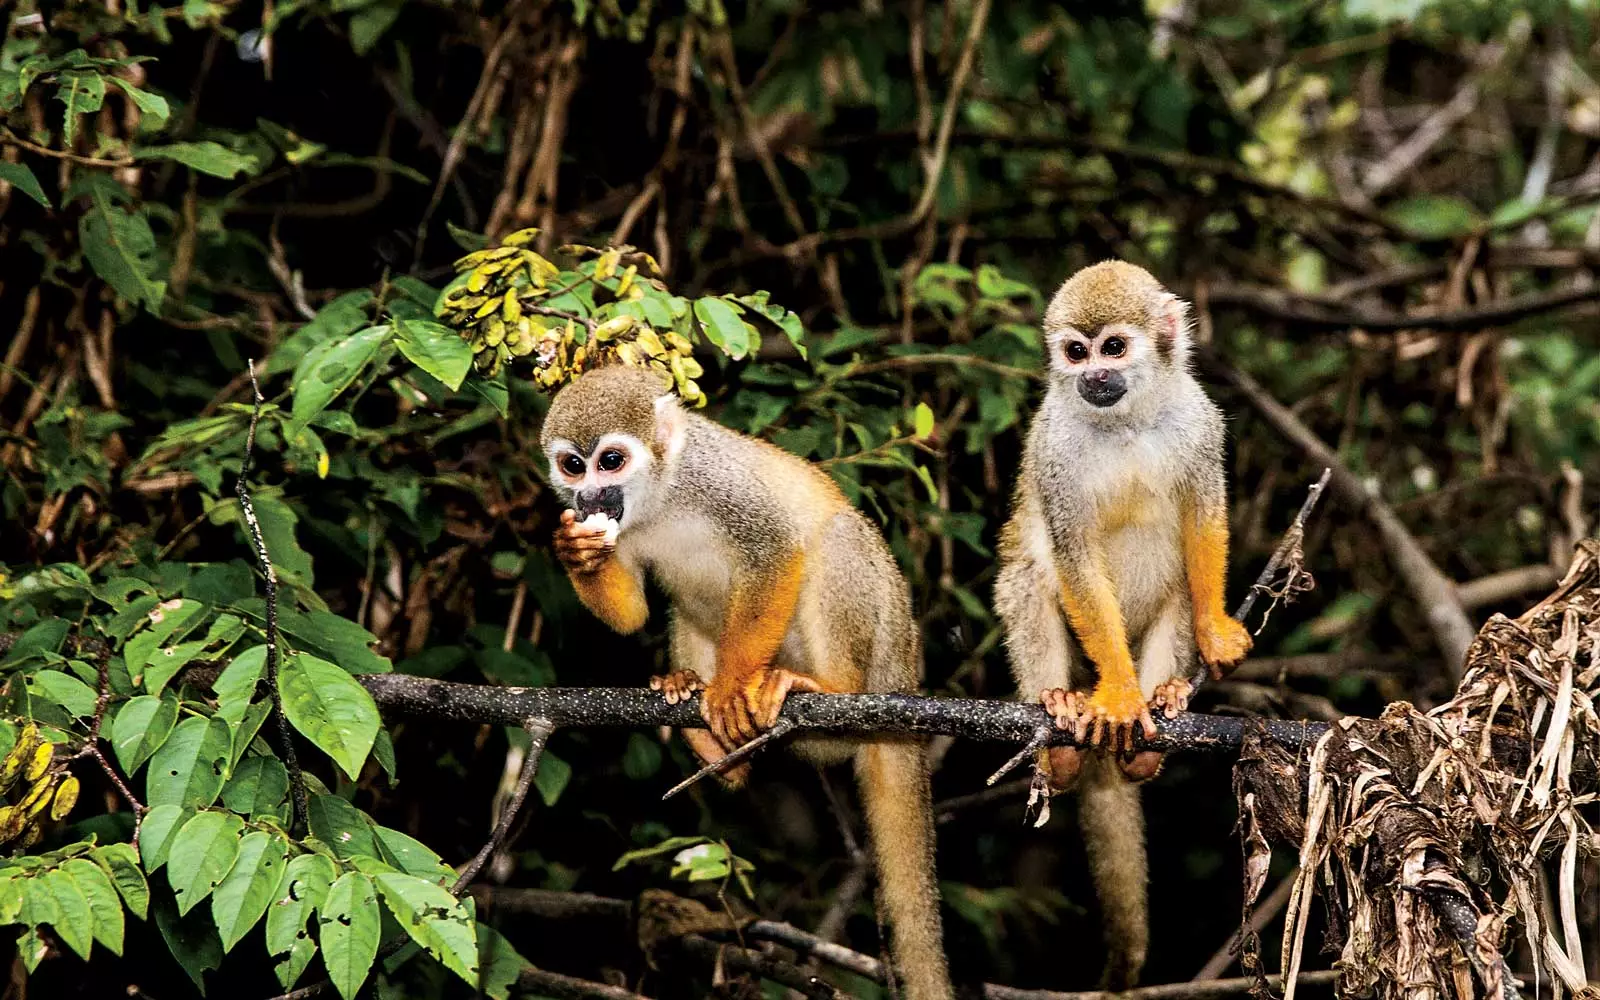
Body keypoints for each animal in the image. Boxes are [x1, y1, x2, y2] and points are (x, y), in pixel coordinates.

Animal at [544, 364, 953, 998]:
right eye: (572, 465)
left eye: (610, 461)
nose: (588, 495)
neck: (660, 494)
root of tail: (905, 681)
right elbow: (634, 613)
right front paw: (576, 552)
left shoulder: (716, 479)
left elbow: (774, 551)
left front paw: (732, 689)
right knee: (689, 609)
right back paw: (714, 744)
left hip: (883, 640)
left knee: (835, 539)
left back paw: (823, 688)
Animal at [992, 257, 1254, 985]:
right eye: (1075, 353)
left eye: (1113, 348)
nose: (1092, 379)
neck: (1128, 422)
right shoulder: (1054, 447)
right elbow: (1071, 553)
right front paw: (1115, 695)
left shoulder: (1198, 421)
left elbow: (1202, 517)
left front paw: (1214, 628)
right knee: (1031, 573)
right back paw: (1060, 717)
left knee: (1175, 590)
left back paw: (1158, 707)